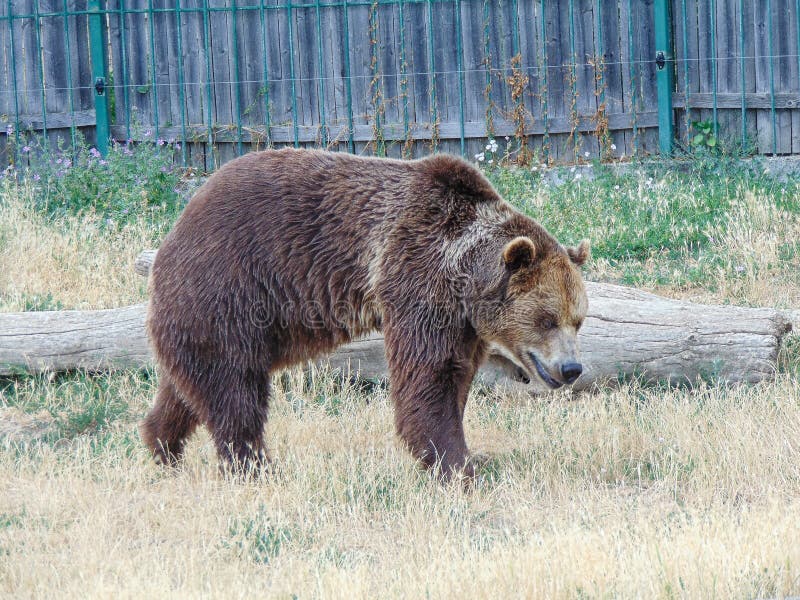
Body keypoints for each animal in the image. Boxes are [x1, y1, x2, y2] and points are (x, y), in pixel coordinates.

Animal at [142, 148, 589, 480]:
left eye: (578, 319)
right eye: (546, 319)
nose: (571, 368)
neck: (463, 275)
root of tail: (174, 231)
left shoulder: (464, 322)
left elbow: (457, 377)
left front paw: (469, 456)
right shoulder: (415, 275)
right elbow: (429, 376)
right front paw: (455, 465)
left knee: (190, 386)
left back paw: (163, 448)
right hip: (228, 291)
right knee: (234, 388)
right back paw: (257, 466)